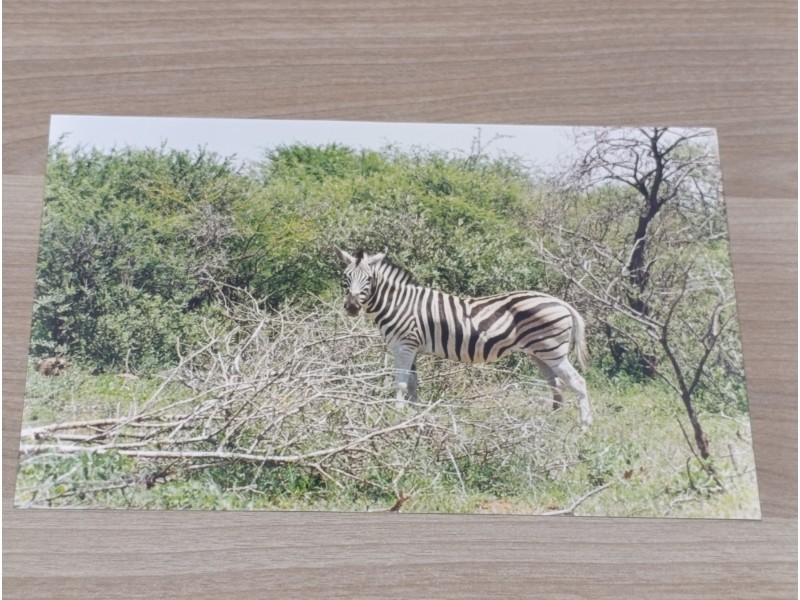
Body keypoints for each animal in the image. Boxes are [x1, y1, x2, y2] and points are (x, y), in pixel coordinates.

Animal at [335, 247, 592, 427]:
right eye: (345, 277)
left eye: (369, 279)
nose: (351, 307)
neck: (398, 303)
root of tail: (561, 302)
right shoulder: (413, 347)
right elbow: (413, 384)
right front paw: (414, 414)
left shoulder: (404, 345)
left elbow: (400, 382)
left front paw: (397, 414)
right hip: (540, 354)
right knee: (557, 386)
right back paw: (552, 423)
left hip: (553, 351)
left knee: (578, 382)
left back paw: (584, 427)